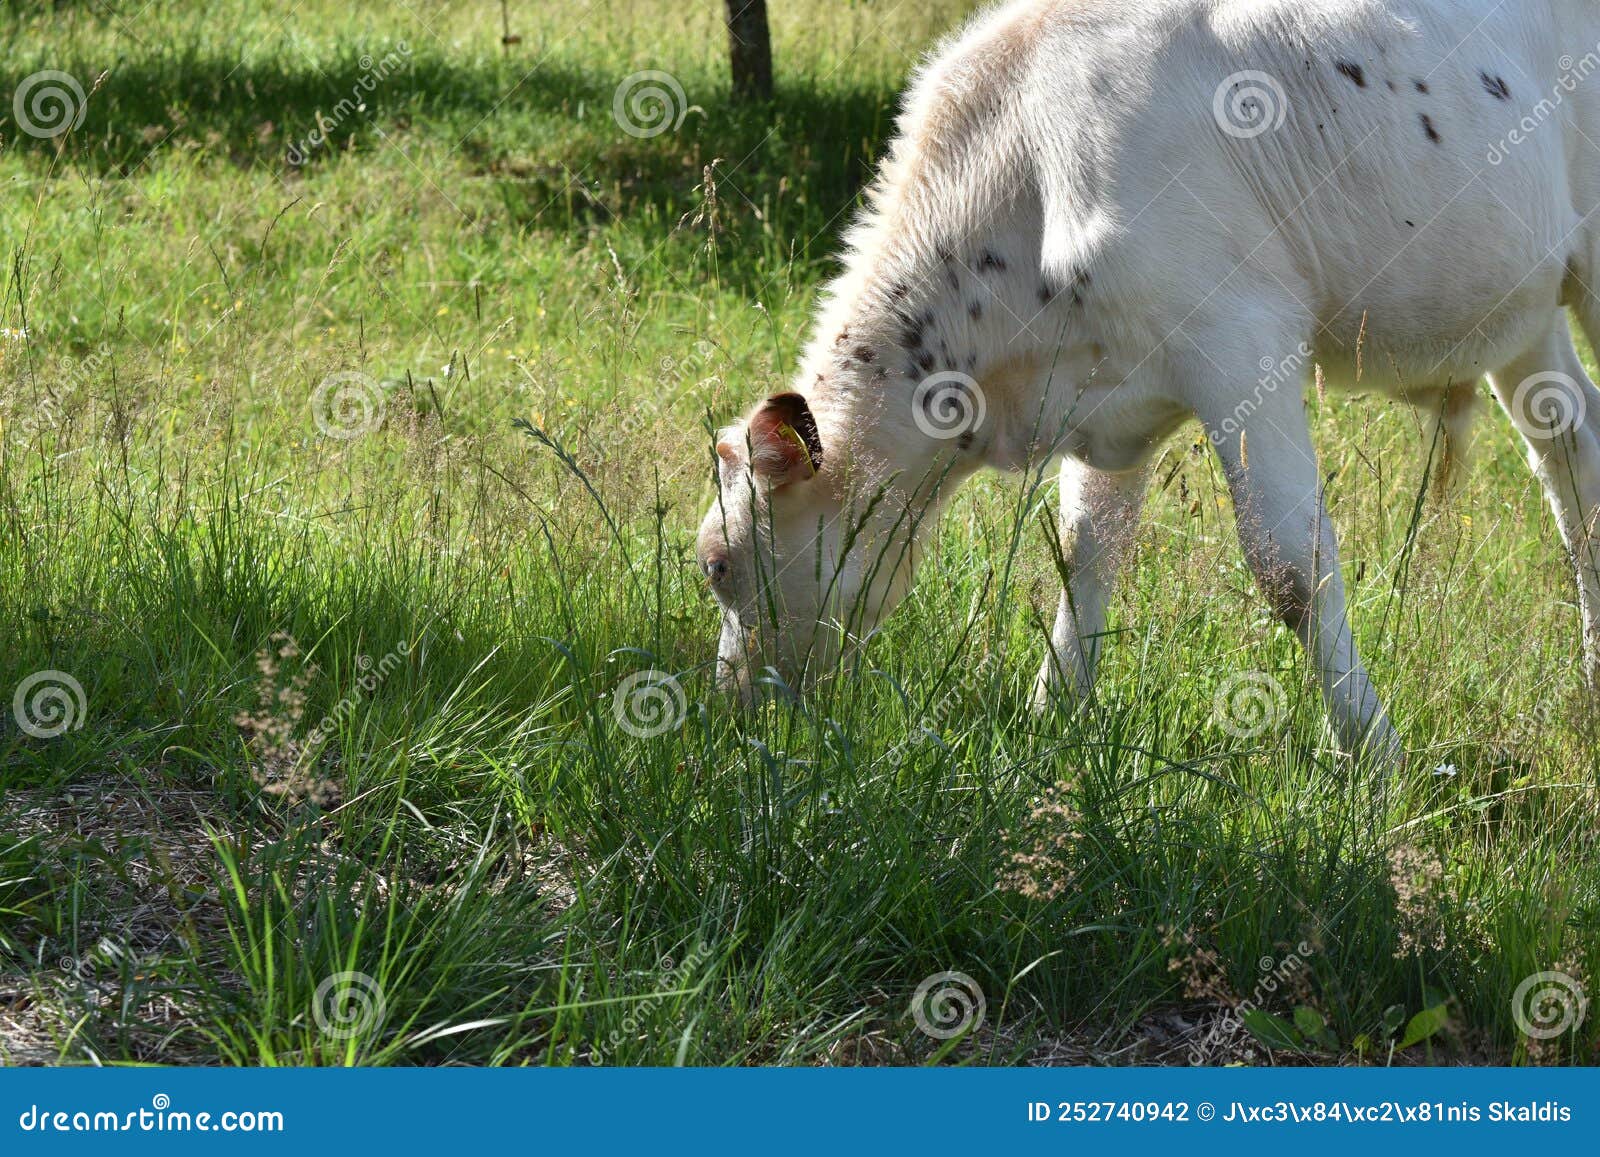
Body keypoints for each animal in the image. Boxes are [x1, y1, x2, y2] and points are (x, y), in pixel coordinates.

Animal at [695, 0, 1600, 765]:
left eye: (716, 564)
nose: (732, 708)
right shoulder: (1108, 403)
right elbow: (1083, 550)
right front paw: (1052, 717)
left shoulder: (1241, 342)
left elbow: (1291, 568)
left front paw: (1373, 754)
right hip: (1523, 303)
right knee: (1572, 455)